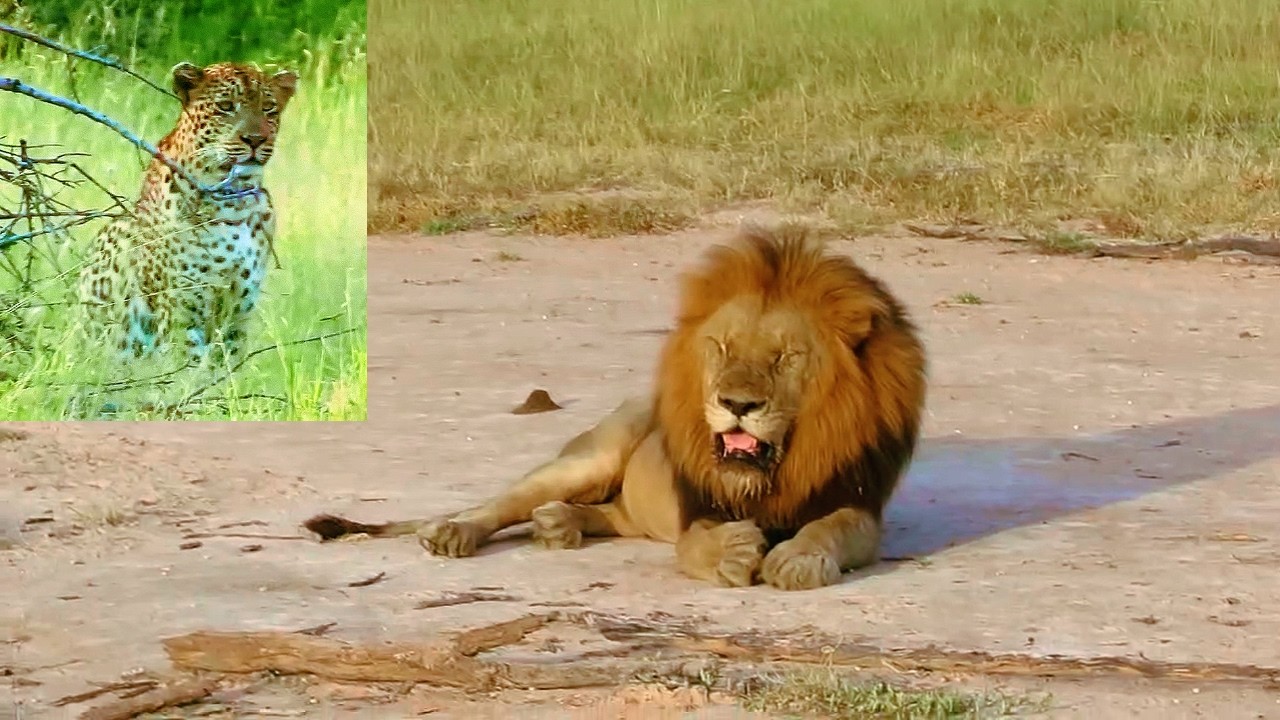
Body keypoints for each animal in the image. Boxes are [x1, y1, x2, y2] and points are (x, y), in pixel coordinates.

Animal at [77, 61, 298, 361]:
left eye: (269, 107)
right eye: (225, 106)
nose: (255, 140)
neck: (234, 201)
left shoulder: (239, 309)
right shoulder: (182, 308)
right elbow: (187, 366)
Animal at [306, 224, 927, 590]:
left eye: (785, 357)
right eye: (723, 348)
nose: (736, 403)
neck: (777, 470)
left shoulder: (858, 503)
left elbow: (831, 529)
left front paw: (797, 559)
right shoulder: (697, 503)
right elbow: (695, 544)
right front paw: (733, 552)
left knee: (612, 514)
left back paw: (560, 524)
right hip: (592, 455)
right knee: (497, 504)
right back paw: (457, 532)